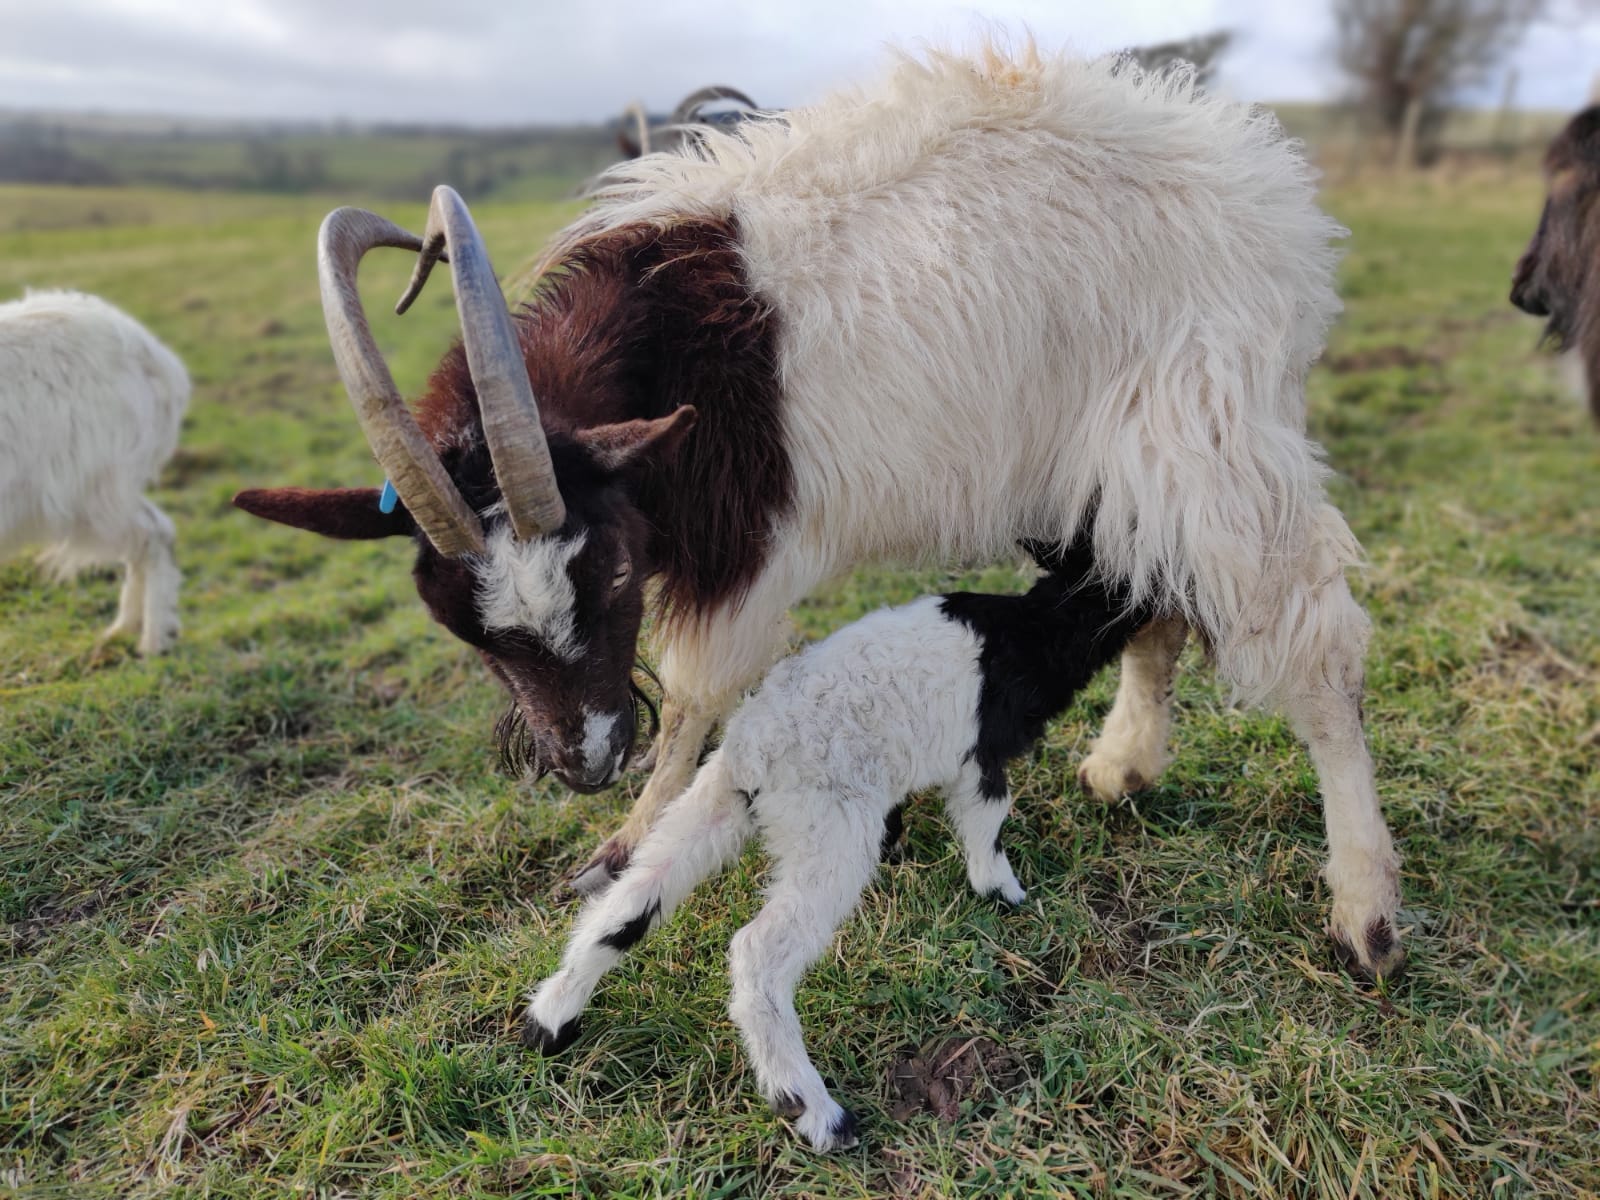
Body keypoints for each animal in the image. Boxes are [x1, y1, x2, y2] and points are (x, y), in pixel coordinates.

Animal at [233, 42, 1405, 983]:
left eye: (610, 570)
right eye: (460, 625)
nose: (585, 761)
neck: (676, 346)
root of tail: (1273, 198)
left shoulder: (747, 544)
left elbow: (697, 699)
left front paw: (625, 846)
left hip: (1208, 441)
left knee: (1316, 647)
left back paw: (1368, 912)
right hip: (1124, 462)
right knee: (1151, 595)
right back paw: (1125, 769)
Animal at [524, 539, 1156, 1150]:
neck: (1038, 626)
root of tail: (754, 752)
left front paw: (903, 845)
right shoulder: (982, 753)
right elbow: (986, 823)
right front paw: (1005, 894)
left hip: (710, 804)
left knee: (625, 907)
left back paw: (549, 1025)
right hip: (828, 829)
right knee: (757, 950)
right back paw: (817, 1114)